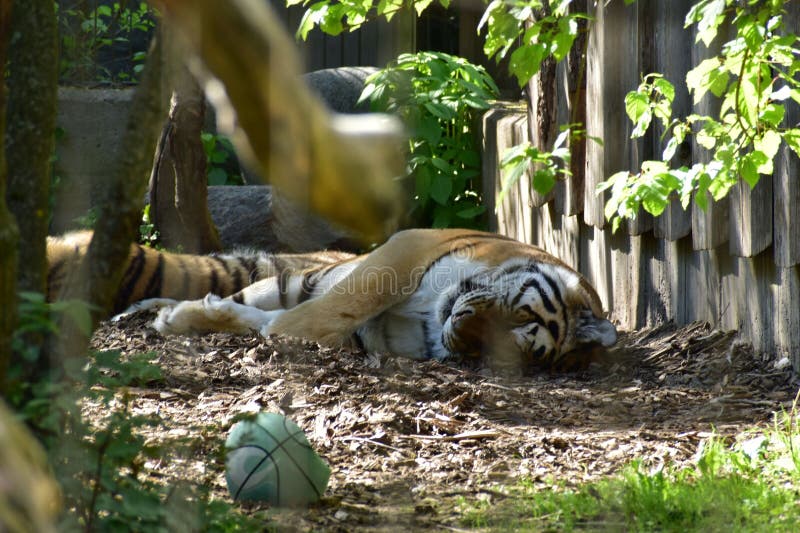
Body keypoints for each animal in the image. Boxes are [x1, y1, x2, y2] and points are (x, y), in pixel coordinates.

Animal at [102, 228, 617, 372]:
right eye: (520, 312)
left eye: (501, 348)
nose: (458, 326)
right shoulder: (404, 249)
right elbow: (343, 303)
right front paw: (283, 331)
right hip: (295, 280)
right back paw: (154, 313)